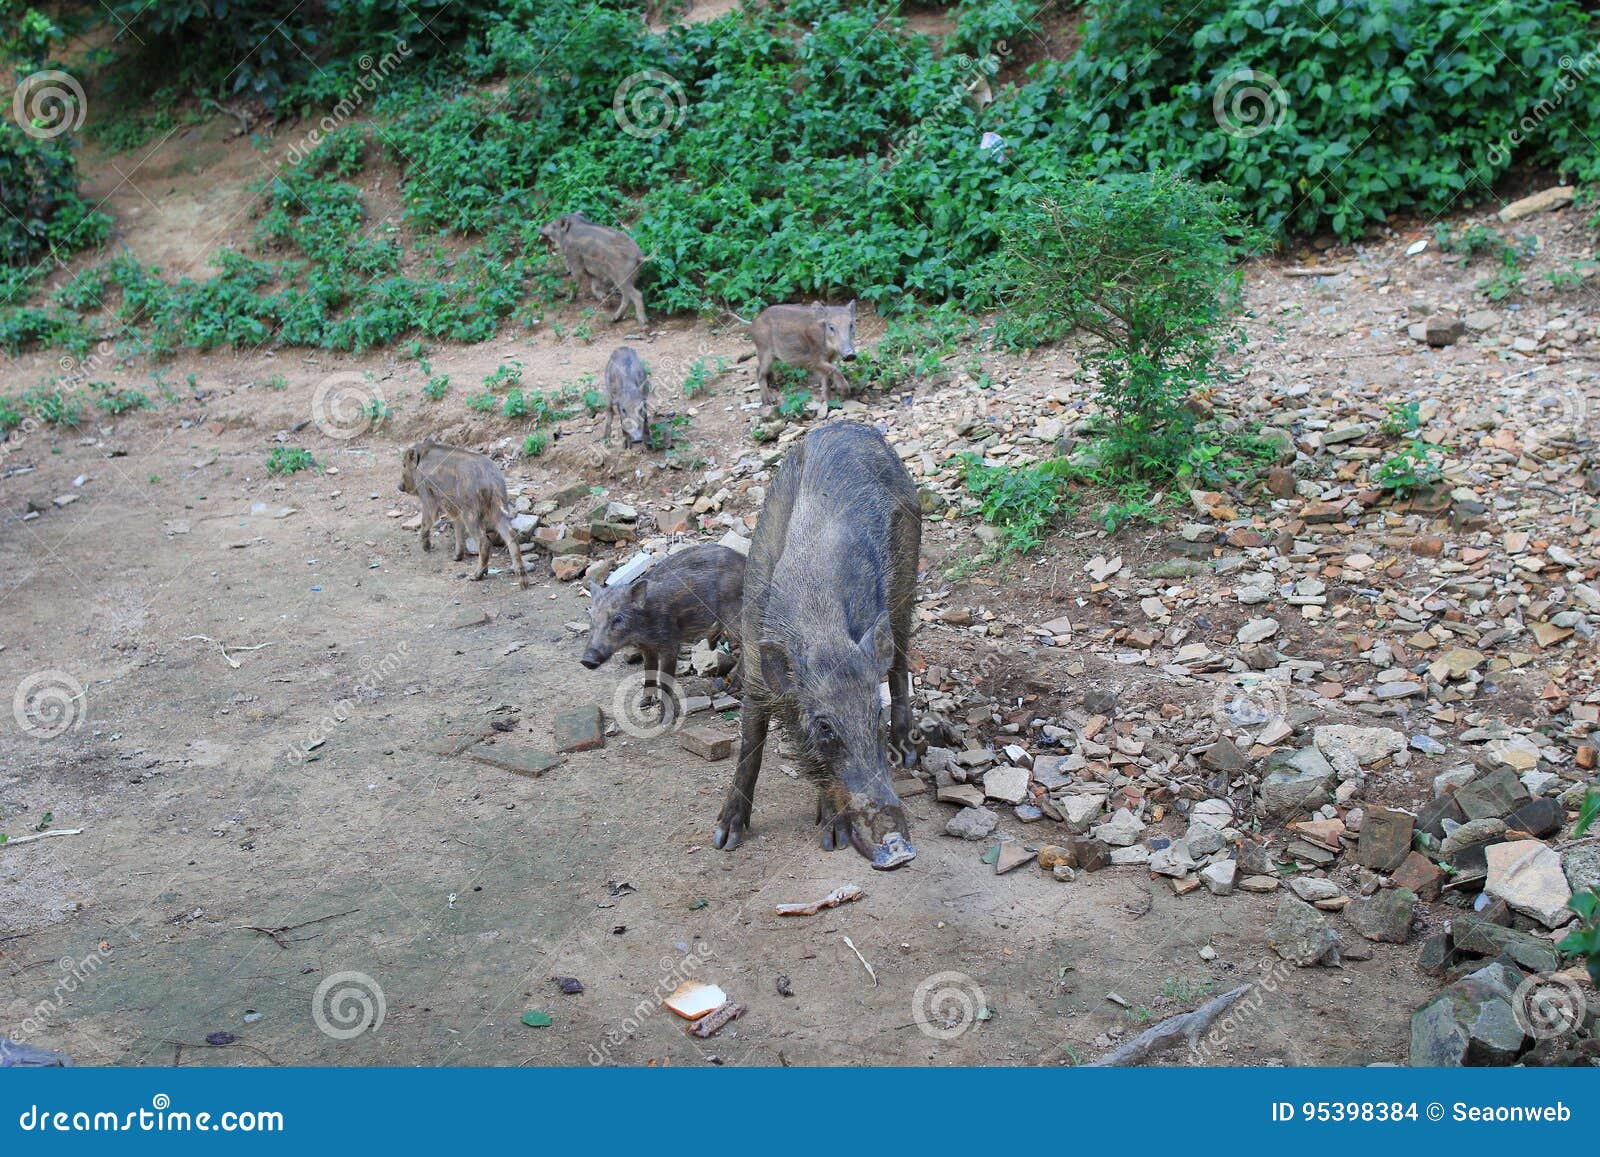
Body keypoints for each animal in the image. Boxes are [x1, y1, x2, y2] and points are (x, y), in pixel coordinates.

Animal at [398, 437, 528, 588]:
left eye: (404, 464)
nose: (399, 487)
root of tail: (491, 480)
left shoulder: (428, 496)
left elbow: (427, 520)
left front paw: (426, 548)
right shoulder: (455, 510)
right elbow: (458, 529)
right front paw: (456, 558)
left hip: (471, 512)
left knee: (484, 541)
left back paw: (475, 576)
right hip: (498, 509)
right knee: (511, 536)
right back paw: (523, 582)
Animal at [581, 544, 746, 722]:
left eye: (618, 619)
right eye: (591, 617)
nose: (587, 660)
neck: (642, 628)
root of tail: (744, 559)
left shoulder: (670, 644)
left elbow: (665, 678)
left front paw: (664, 719)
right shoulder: (646, 647)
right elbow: (648, 670)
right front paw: (643, 703)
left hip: (733, 610)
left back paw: (732, 689)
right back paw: (711, 647)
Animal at [713, 420, 921, 871]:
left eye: (875, 718)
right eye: (825, 727)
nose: (899, 849)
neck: (820, 630)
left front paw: (832, 836)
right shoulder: (754, 669)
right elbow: (750, 745)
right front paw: (724, 838)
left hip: (908, 577)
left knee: (899, 663)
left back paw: (909, 754)